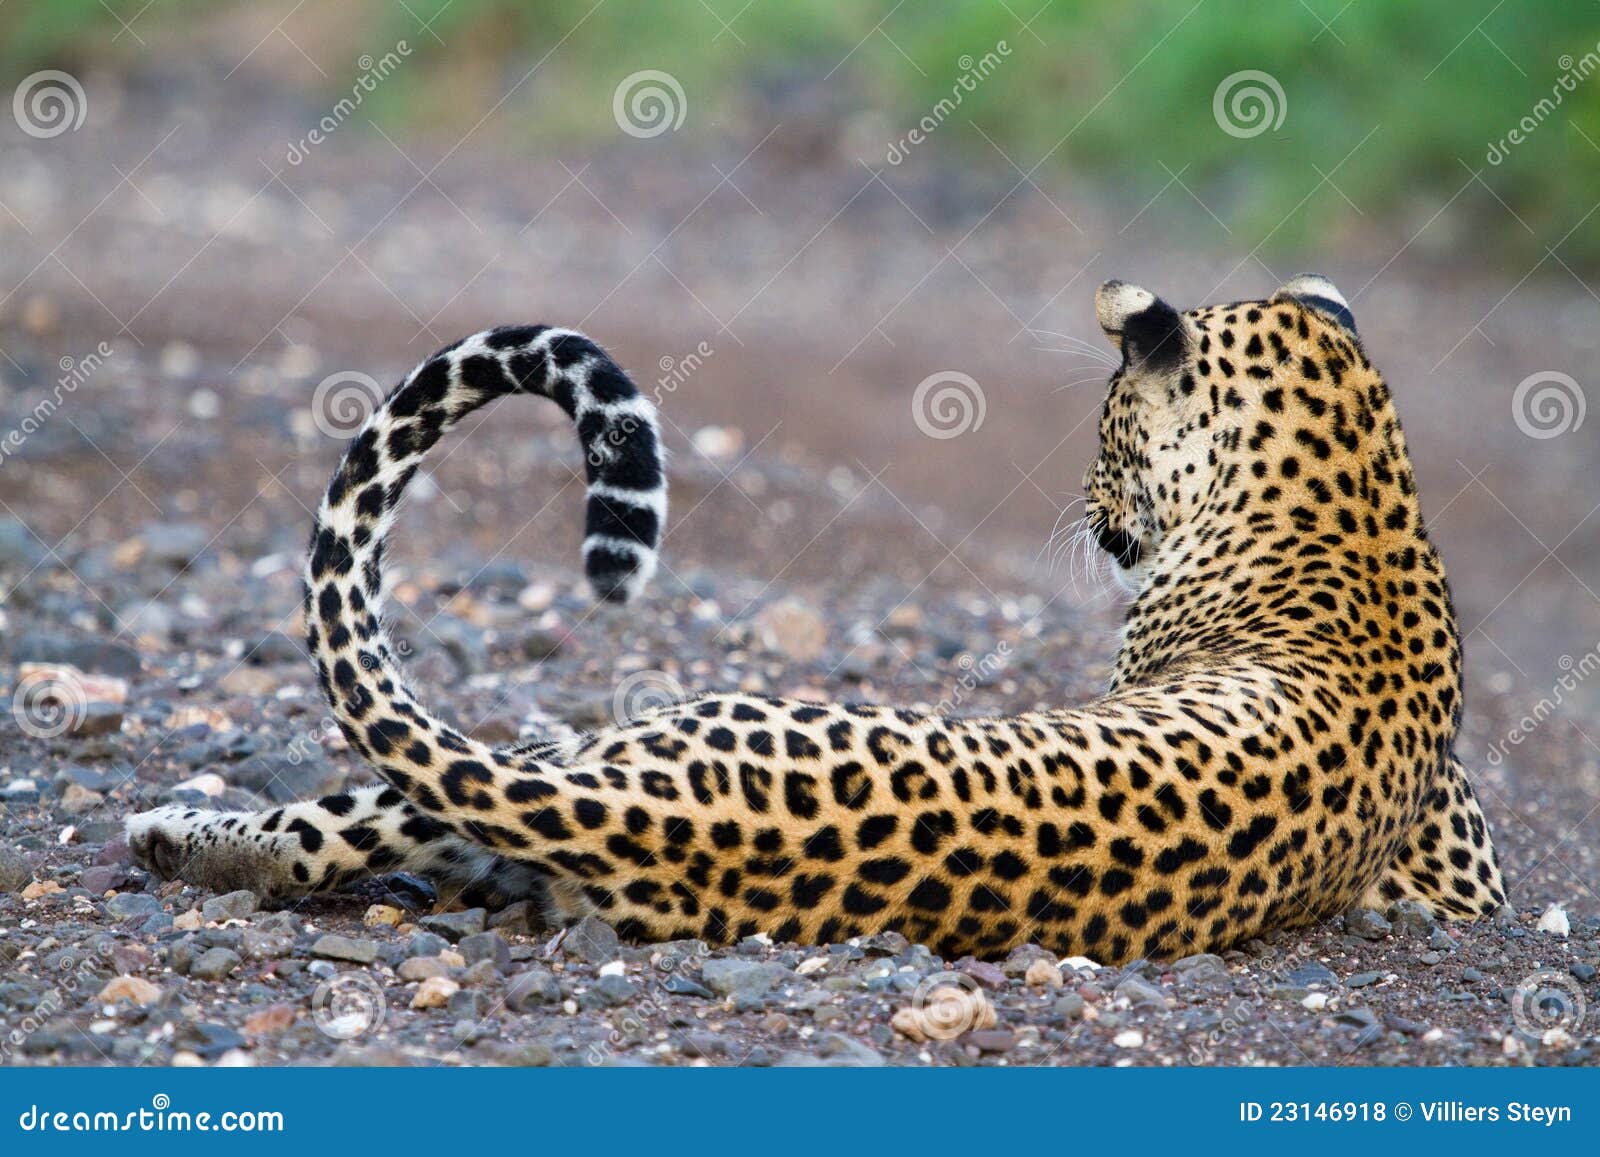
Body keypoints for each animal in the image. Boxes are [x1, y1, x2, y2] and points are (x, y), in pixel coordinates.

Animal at [125, 274, 1507, 963]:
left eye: (1106, 427)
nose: (1088, 506)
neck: (1356, 492)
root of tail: (660, 814)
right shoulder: (1462, 873)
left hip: (578, 747)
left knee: (334, 827)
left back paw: (173, 830)